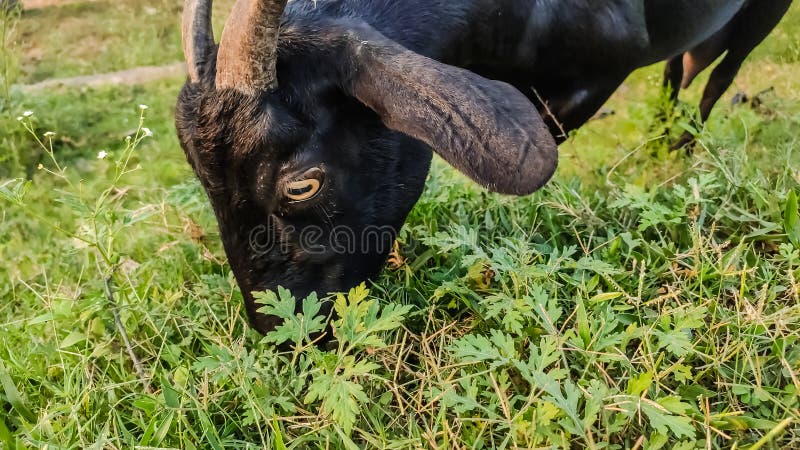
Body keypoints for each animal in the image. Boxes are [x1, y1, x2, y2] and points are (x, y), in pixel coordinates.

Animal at [175, 0, 791, 335]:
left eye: (302, 184)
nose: (283, 335)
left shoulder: (599, 74)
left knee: (718, 75)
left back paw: (683, 148)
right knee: (679, 69)